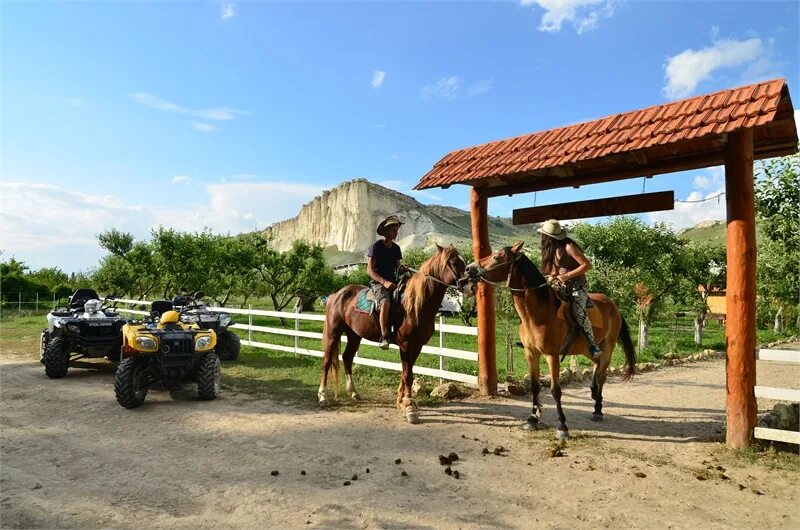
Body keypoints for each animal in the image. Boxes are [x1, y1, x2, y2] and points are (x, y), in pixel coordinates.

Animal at [318, 242, 468, 420]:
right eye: (454, 262)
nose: (468, 282)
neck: (414, 306)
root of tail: (336, 295)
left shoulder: (417, 346)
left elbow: (406, 373)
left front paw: (402, 401)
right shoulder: (406, 345)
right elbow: (408, 375)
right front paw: (409, 407)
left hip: (354, 335)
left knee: (347, 358)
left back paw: (354, 393)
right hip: (333, 333)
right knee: (327, 360)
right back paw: (322, 396)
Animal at [460, 239, 636, 438]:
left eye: (497, 257)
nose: (468, 268)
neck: (539, 314)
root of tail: (613, 305)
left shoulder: (552, 356)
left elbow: (555, 390)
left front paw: (562, 426)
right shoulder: (531, 354)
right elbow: (535, 386)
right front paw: (532, 419)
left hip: (608, 346)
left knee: (602, 375)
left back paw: (598, 409)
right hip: (587, 349)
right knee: (596, 365)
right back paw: (593, 395)